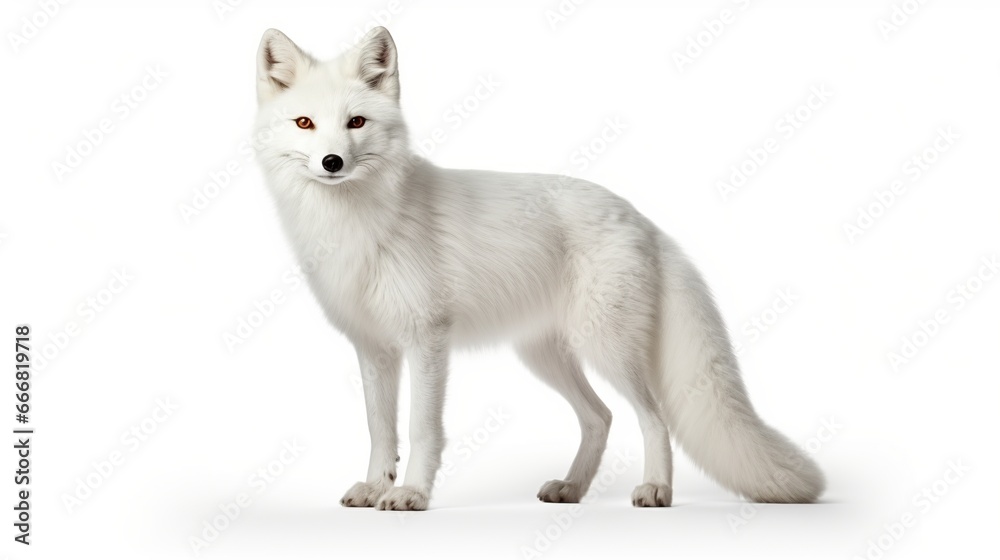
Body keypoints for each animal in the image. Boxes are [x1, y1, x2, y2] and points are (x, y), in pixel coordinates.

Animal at [253, 26, 824, 511]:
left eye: (356, 123)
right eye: (305, 123)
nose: (332, 162)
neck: (359, 224)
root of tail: (643, 220)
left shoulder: (426, 340)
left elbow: (420, 429)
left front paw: (411, 493)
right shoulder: (374, 348)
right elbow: (380, 431)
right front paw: (375, 488)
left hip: (607, 349)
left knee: (653, 418)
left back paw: (656, 489)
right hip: (545, 356)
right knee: (601, 417)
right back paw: (572, 488)